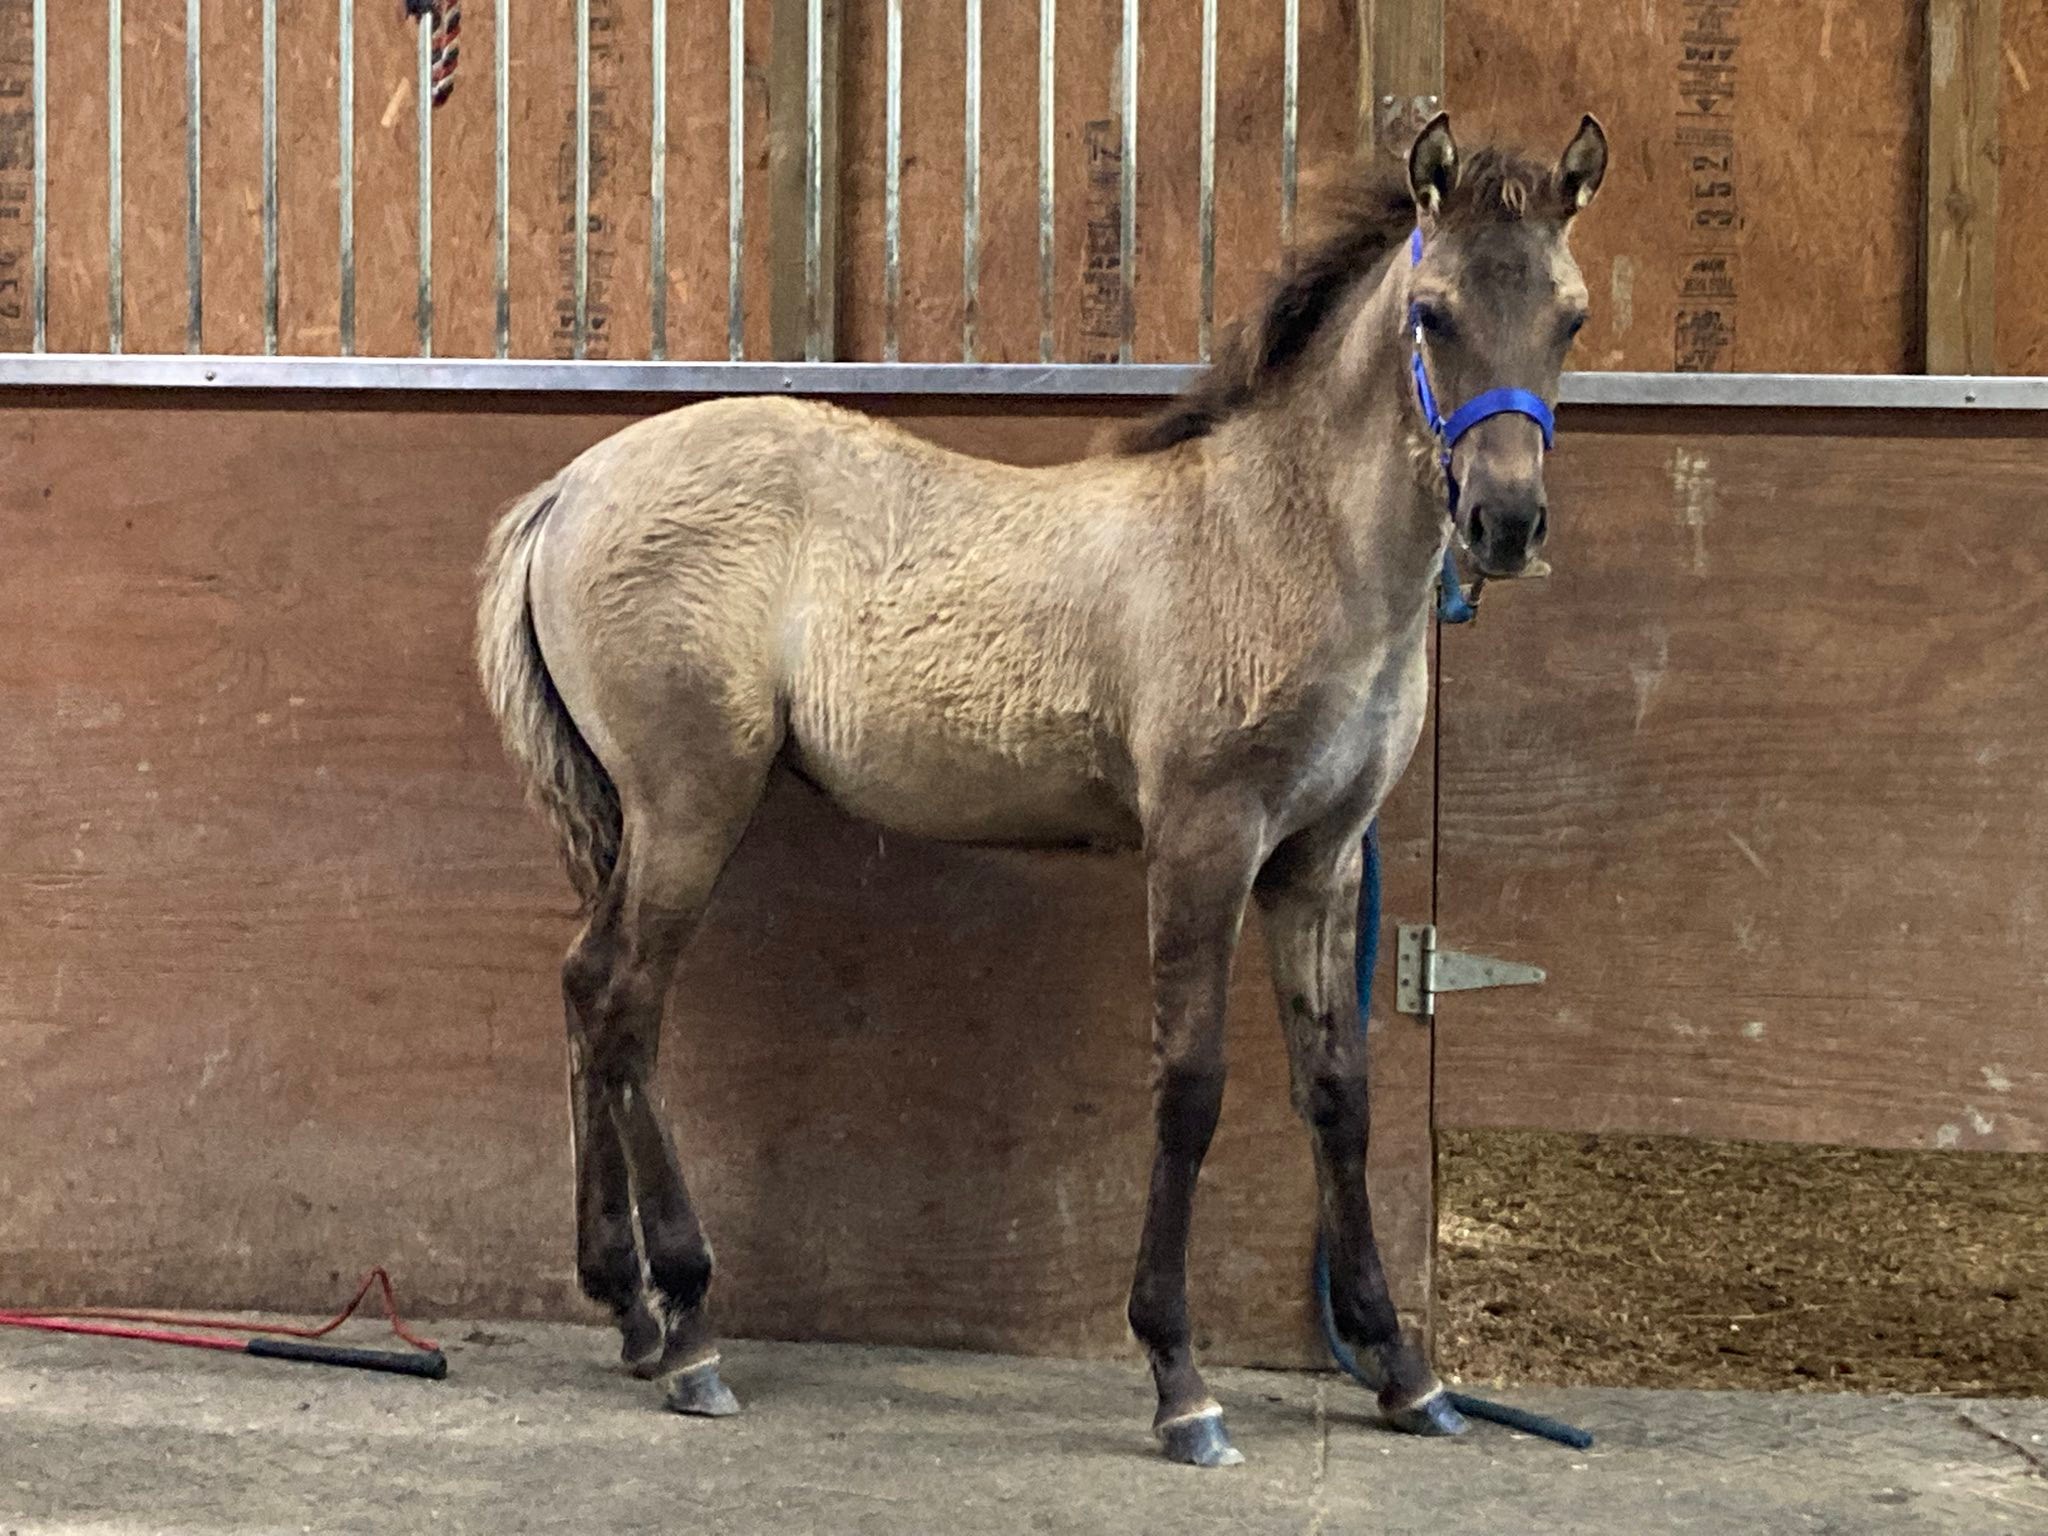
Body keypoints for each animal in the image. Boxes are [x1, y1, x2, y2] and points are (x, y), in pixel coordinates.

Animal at [475, 111, 1607, 1467]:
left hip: (634, 820)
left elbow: (1338, 1093)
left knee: (583, 989)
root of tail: (568, 491)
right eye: (1431, 313)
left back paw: (631, 1311)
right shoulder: (1202, 843)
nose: (1504, 523)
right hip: (693, 802)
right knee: (626, 1007)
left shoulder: (1319, 861)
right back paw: (690, 1330)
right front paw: (1180, 1383)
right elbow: (1189, 1087)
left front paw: (1401, 1369)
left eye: (1571, 317)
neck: (1274, 544)